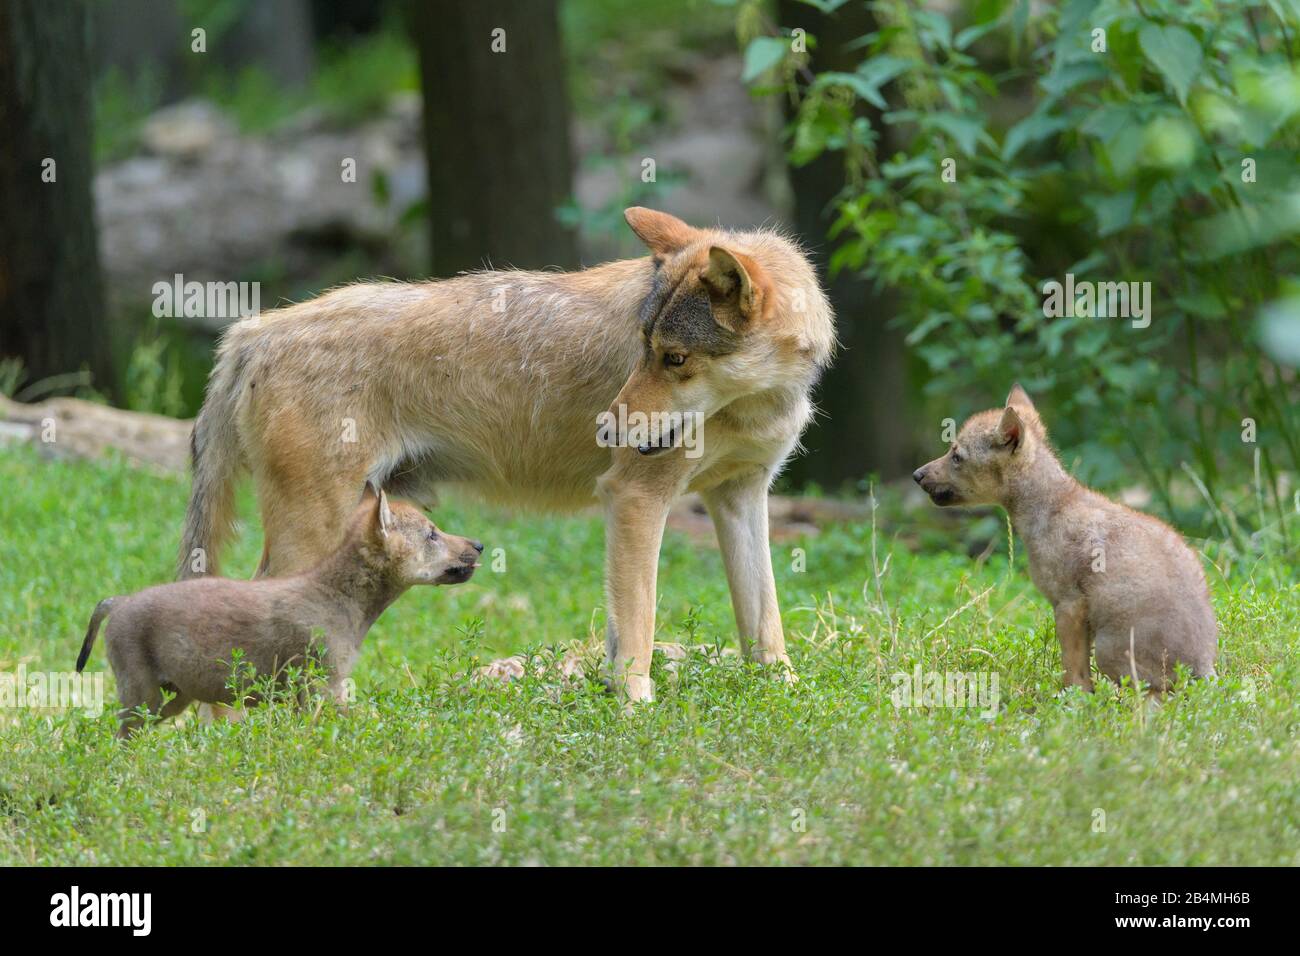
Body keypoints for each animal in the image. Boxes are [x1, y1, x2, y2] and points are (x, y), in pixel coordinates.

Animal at [177, 208, 836, 703]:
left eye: (674, 358)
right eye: (645, 348)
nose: (605, 430)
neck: (753, 403)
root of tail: (252, 332)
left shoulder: (741, 496)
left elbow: (767, 625)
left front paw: (784, 695)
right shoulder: (634, 497)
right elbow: (638, 632)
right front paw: (635, 709)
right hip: (311, 537)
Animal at [913, 385, 1217, 693]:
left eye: (957, 456)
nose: (916, 475)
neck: (1050, 507)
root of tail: (1204, 669)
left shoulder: (1069, 605)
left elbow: (1074, 670)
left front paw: (1071, 699)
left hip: (1109, 651)